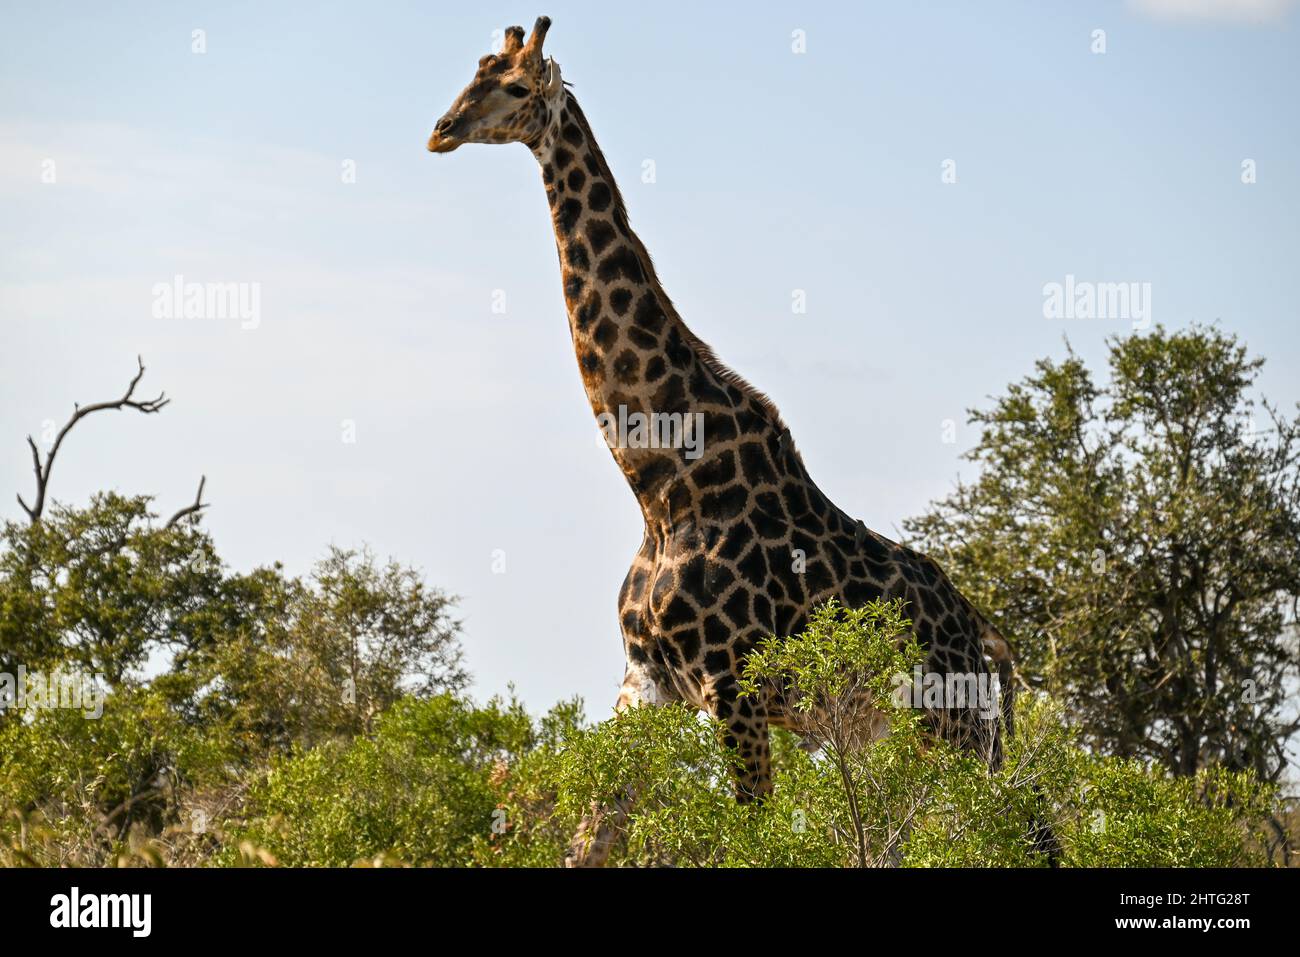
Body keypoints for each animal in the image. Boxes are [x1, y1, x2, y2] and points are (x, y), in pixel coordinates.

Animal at [427, 17, 1019, 866]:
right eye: (473, 72)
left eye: (511, 86)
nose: (441, 130)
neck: (660, 483)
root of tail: (982, 633)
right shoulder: (647, 681)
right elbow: (590, 836)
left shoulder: (733, 685)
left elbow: (753, 833)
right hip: (898, 733)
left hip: (953, 723)